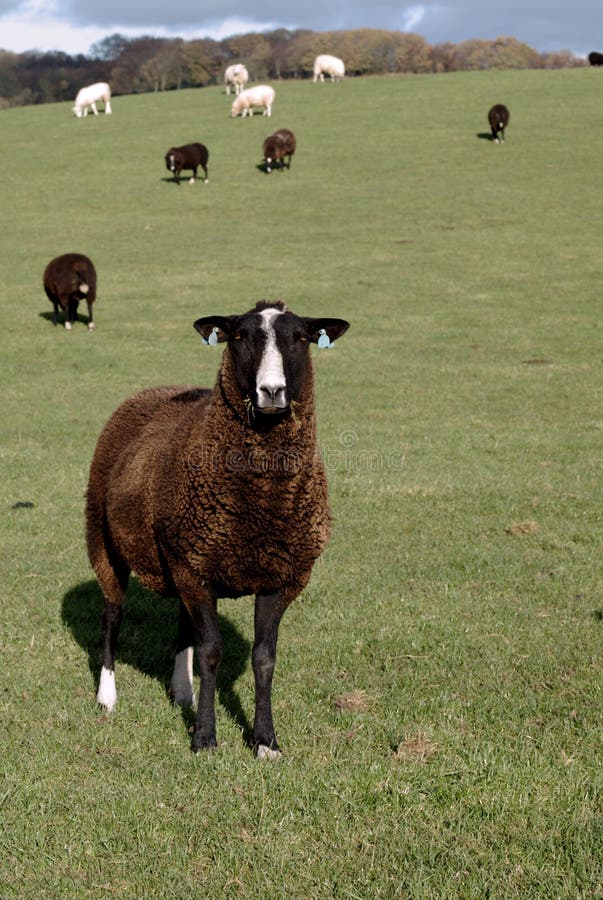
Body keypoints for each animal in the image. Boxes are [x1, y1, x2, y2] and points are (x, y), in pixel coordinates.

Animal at [86, 300, 350, 758]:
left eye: (301, 337)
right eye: (240, 336)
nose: (272, 392)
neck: (261, 500)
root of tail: (152, 390)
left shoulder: (276, 575)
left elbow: (264, 658)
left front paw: (266, 741)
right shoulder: (198, 570)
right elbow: (211, 652)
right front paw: (205, 738)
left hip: (182, 558)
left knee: (182, 621)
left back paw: (182, 690)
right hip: (105, 541)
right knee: (112, 614)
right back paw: (107, 697)